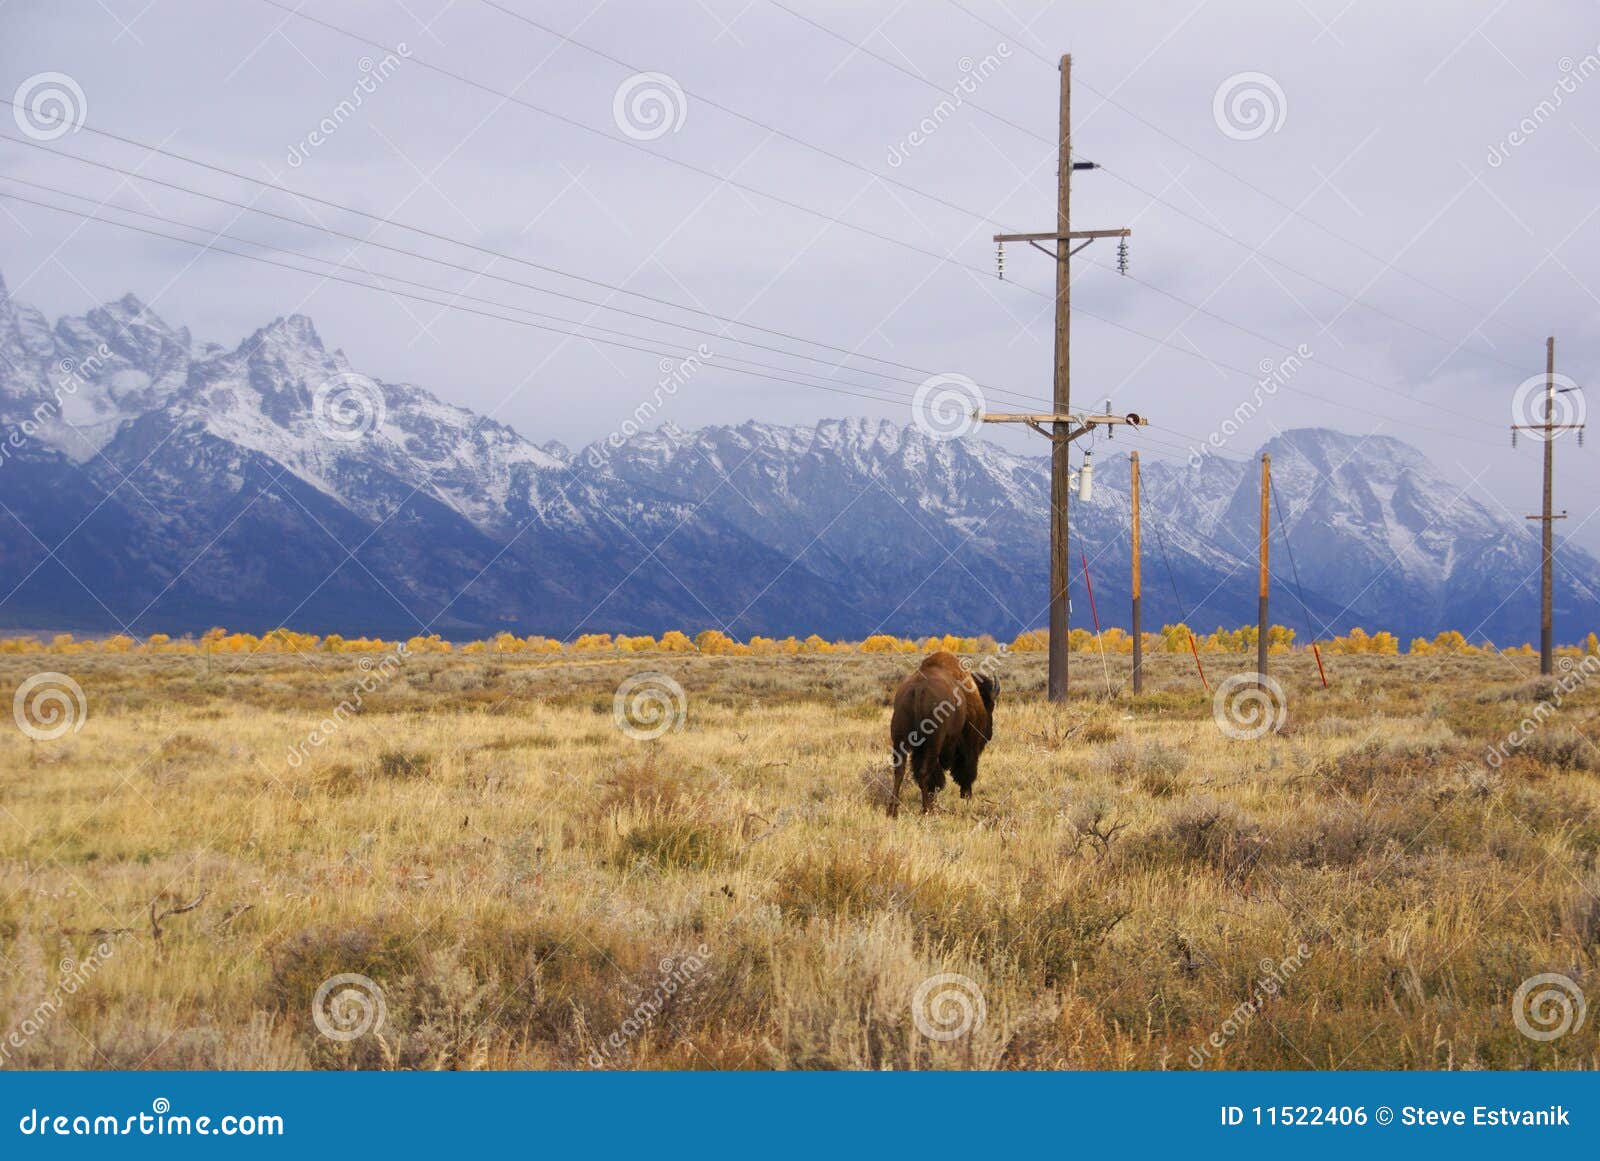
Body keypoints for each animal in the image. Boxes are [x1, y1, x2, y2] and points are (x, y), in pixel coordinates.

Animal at [887, 651, 999, 817]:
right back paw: (927, 809)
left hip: (899, 740)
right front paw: (967, 796)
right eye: (991, 706)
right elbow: (967, 769)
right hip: (933, 743)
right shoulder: (968, 743)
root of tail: (918, 688)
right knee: (924, 772)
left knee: (900, 771)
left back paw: (893, 810)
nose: (988, 734)